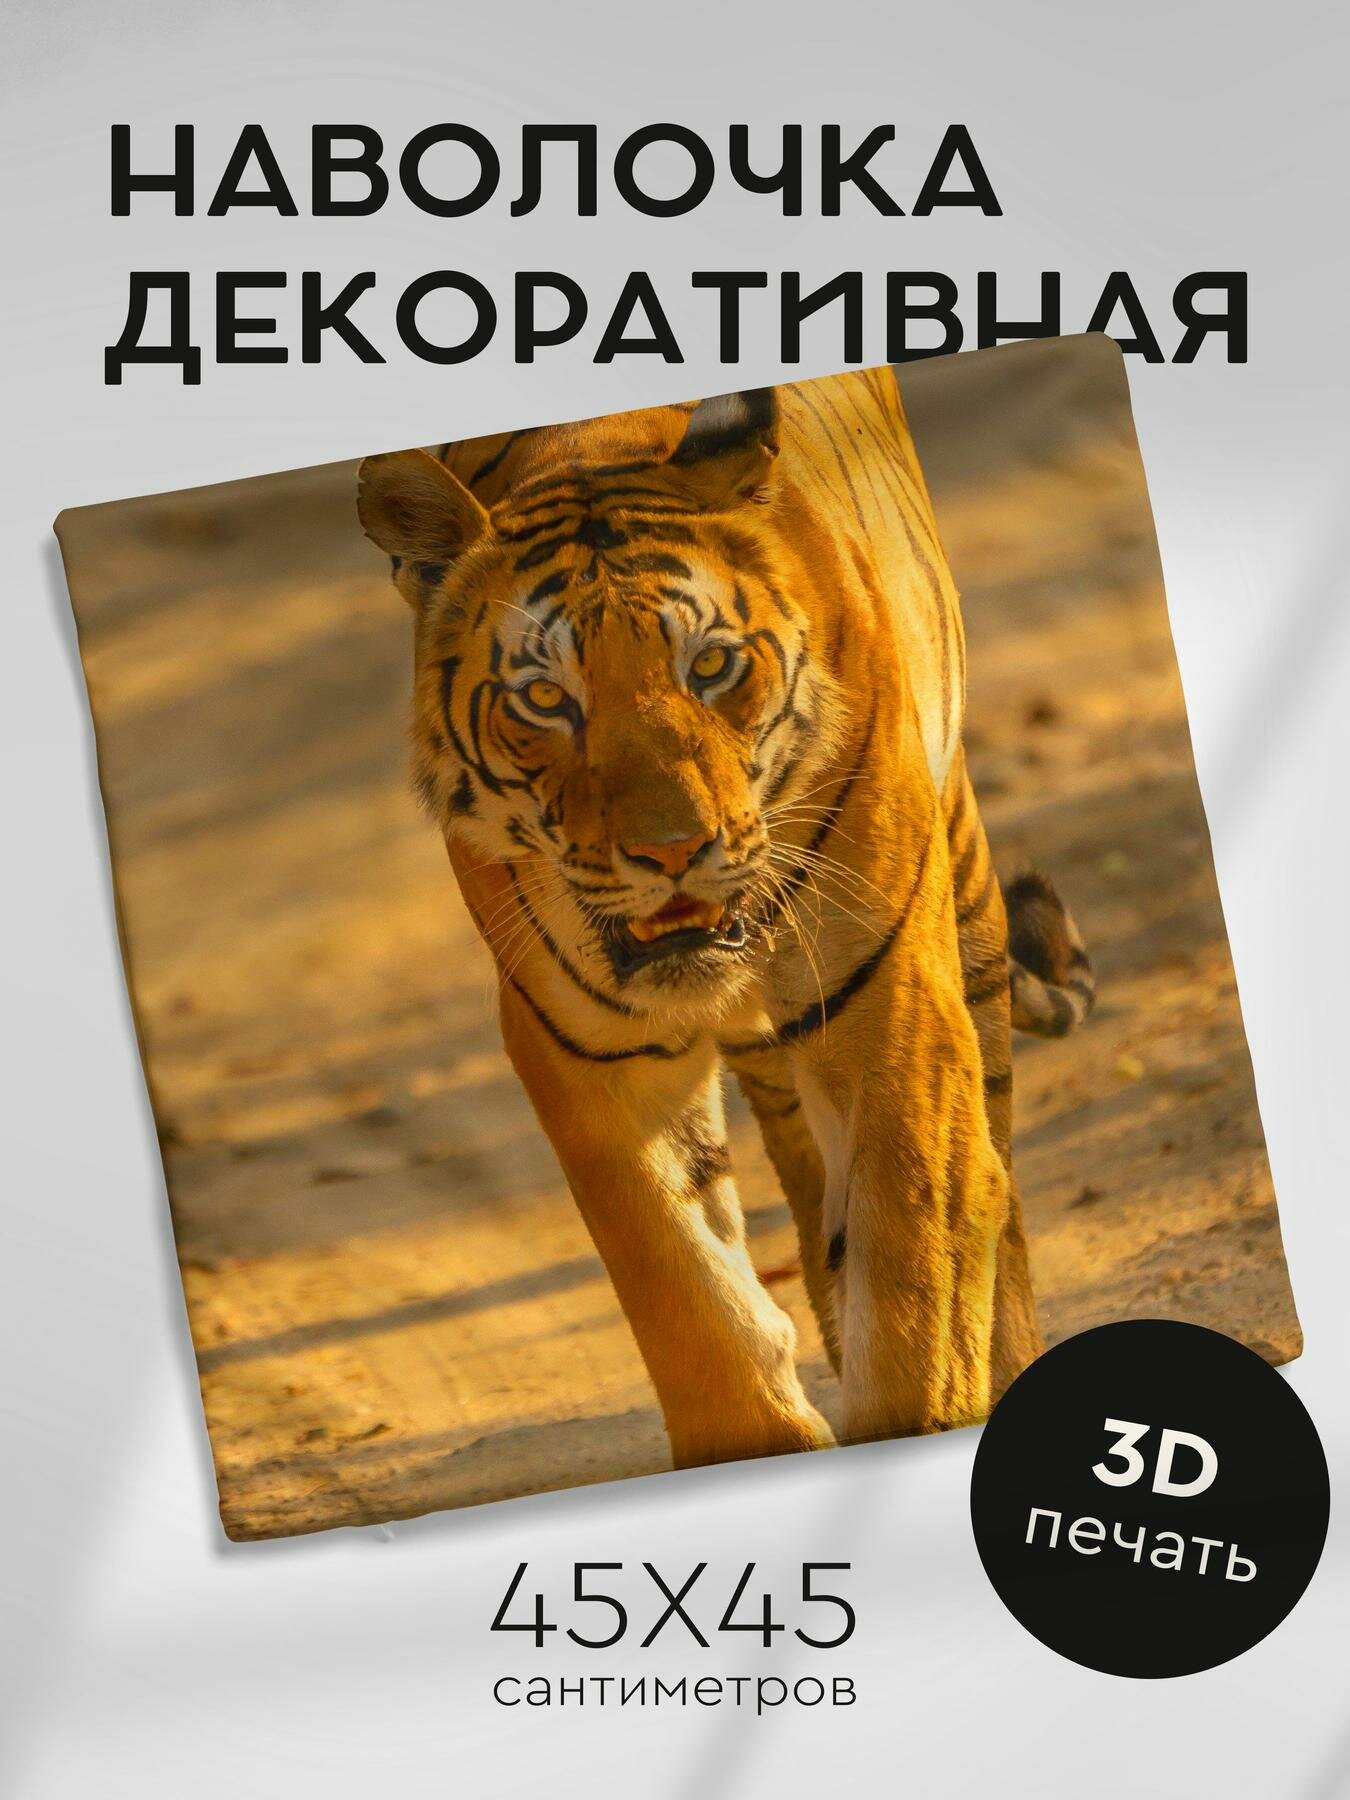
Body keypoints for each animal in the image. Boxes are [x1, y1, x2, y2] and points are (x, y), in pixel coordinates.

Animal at [356, 368, 1094, 1471]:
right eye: (545, 698)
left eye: (709, 668)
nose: (670, 853)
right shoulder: (583, 1049)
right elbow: (680, 1282)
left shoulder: (888, 1006)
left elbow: (913, 1259)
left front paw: (917, 1399)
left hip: (961, 893)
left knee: (988, 1170)